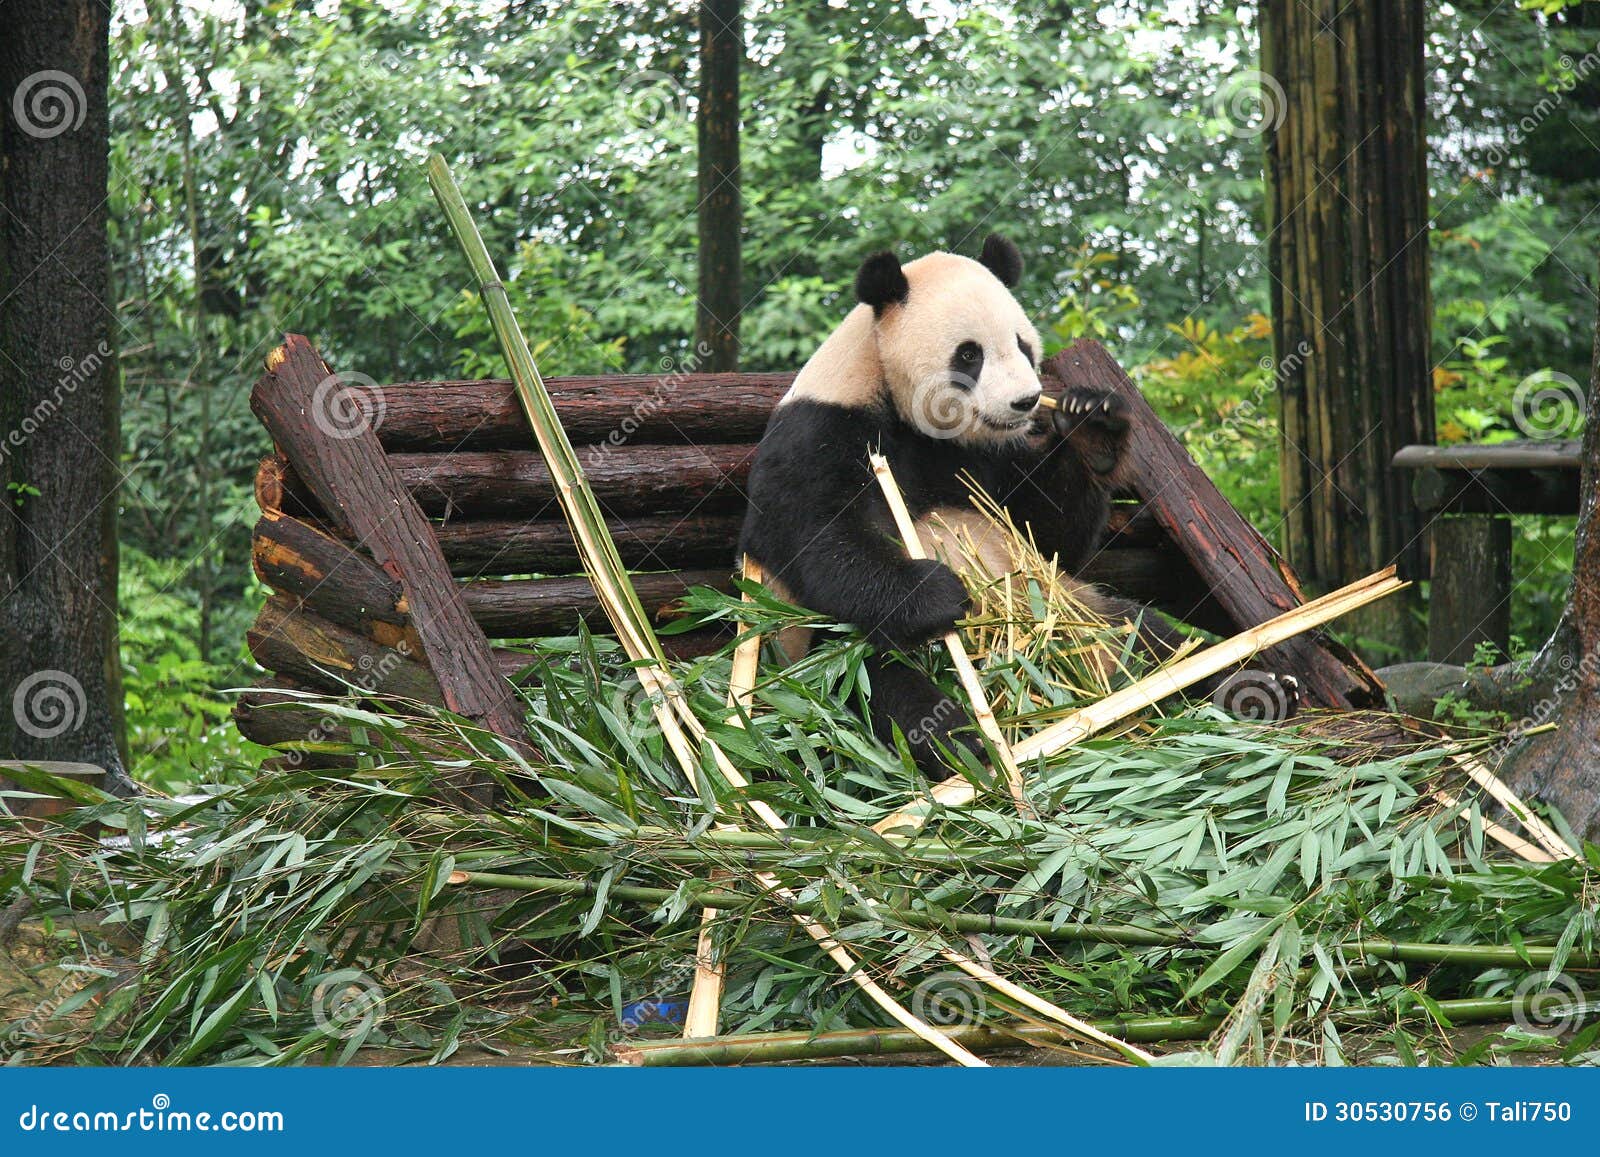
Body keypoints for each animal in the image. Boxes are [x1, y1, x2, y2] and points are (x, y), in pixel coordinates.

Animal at [737, 234, 1209, 777]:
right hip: (832, 652)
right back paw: (965, 745)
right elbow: (811, 535)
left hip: (1078, 608)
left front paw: (1092, 426)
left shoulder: (983, 456)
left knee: (1152, 636)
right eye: (969, 355)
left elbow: (1044, 533)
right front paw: (939, 592)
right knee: (887, 685)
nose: (1026, 401)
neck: (891, 394)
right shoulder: (820, 430)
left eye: (1023, 344)